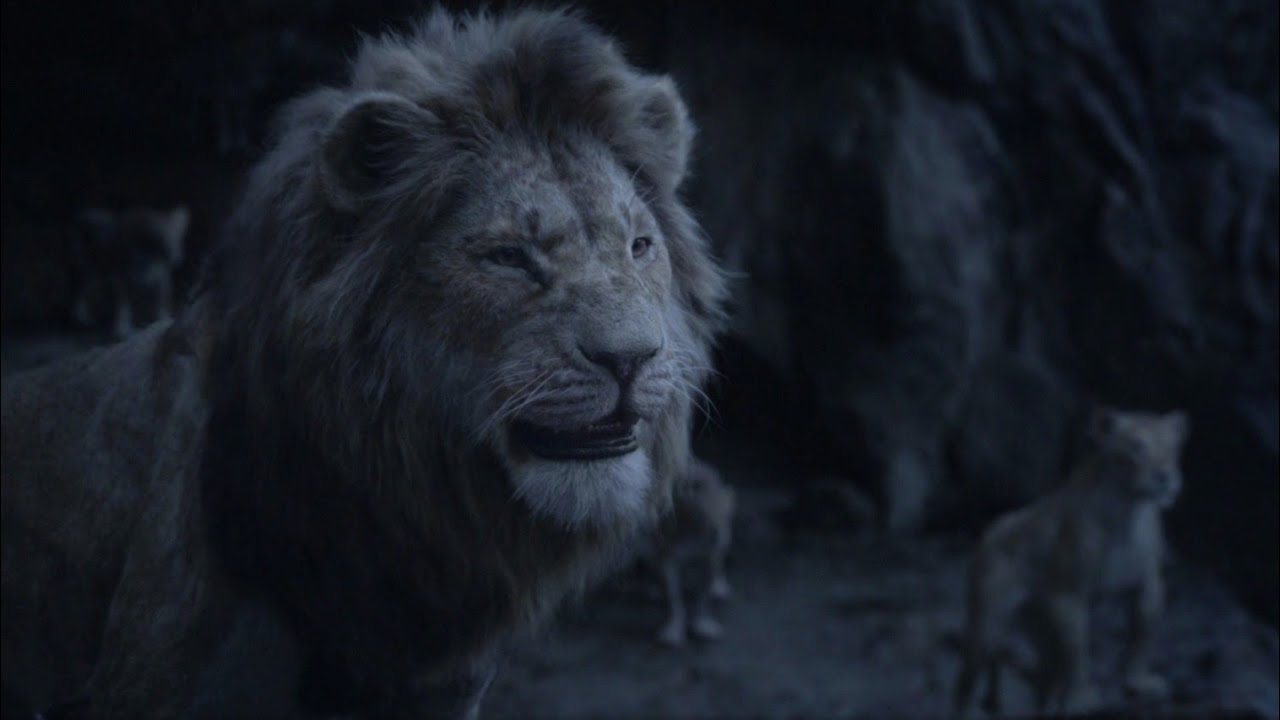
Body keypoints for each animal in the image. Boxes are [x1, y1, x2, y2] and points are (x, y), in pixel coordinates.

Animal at [952, 407, 1189, 716]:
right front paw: (1082, 699)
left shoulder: (1148, 585)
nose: (1164, 476)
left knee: (1045, 676)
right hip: (987, 627)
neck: (1128, 513)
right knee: (967, 681)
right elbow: (1078, 650)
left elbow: (1142, 636)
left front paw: (1138, 682)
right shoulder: (1066, 595)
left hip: (1037, 625)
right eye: (1136, 447)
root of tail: (990, 532)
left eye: (1172, 448)